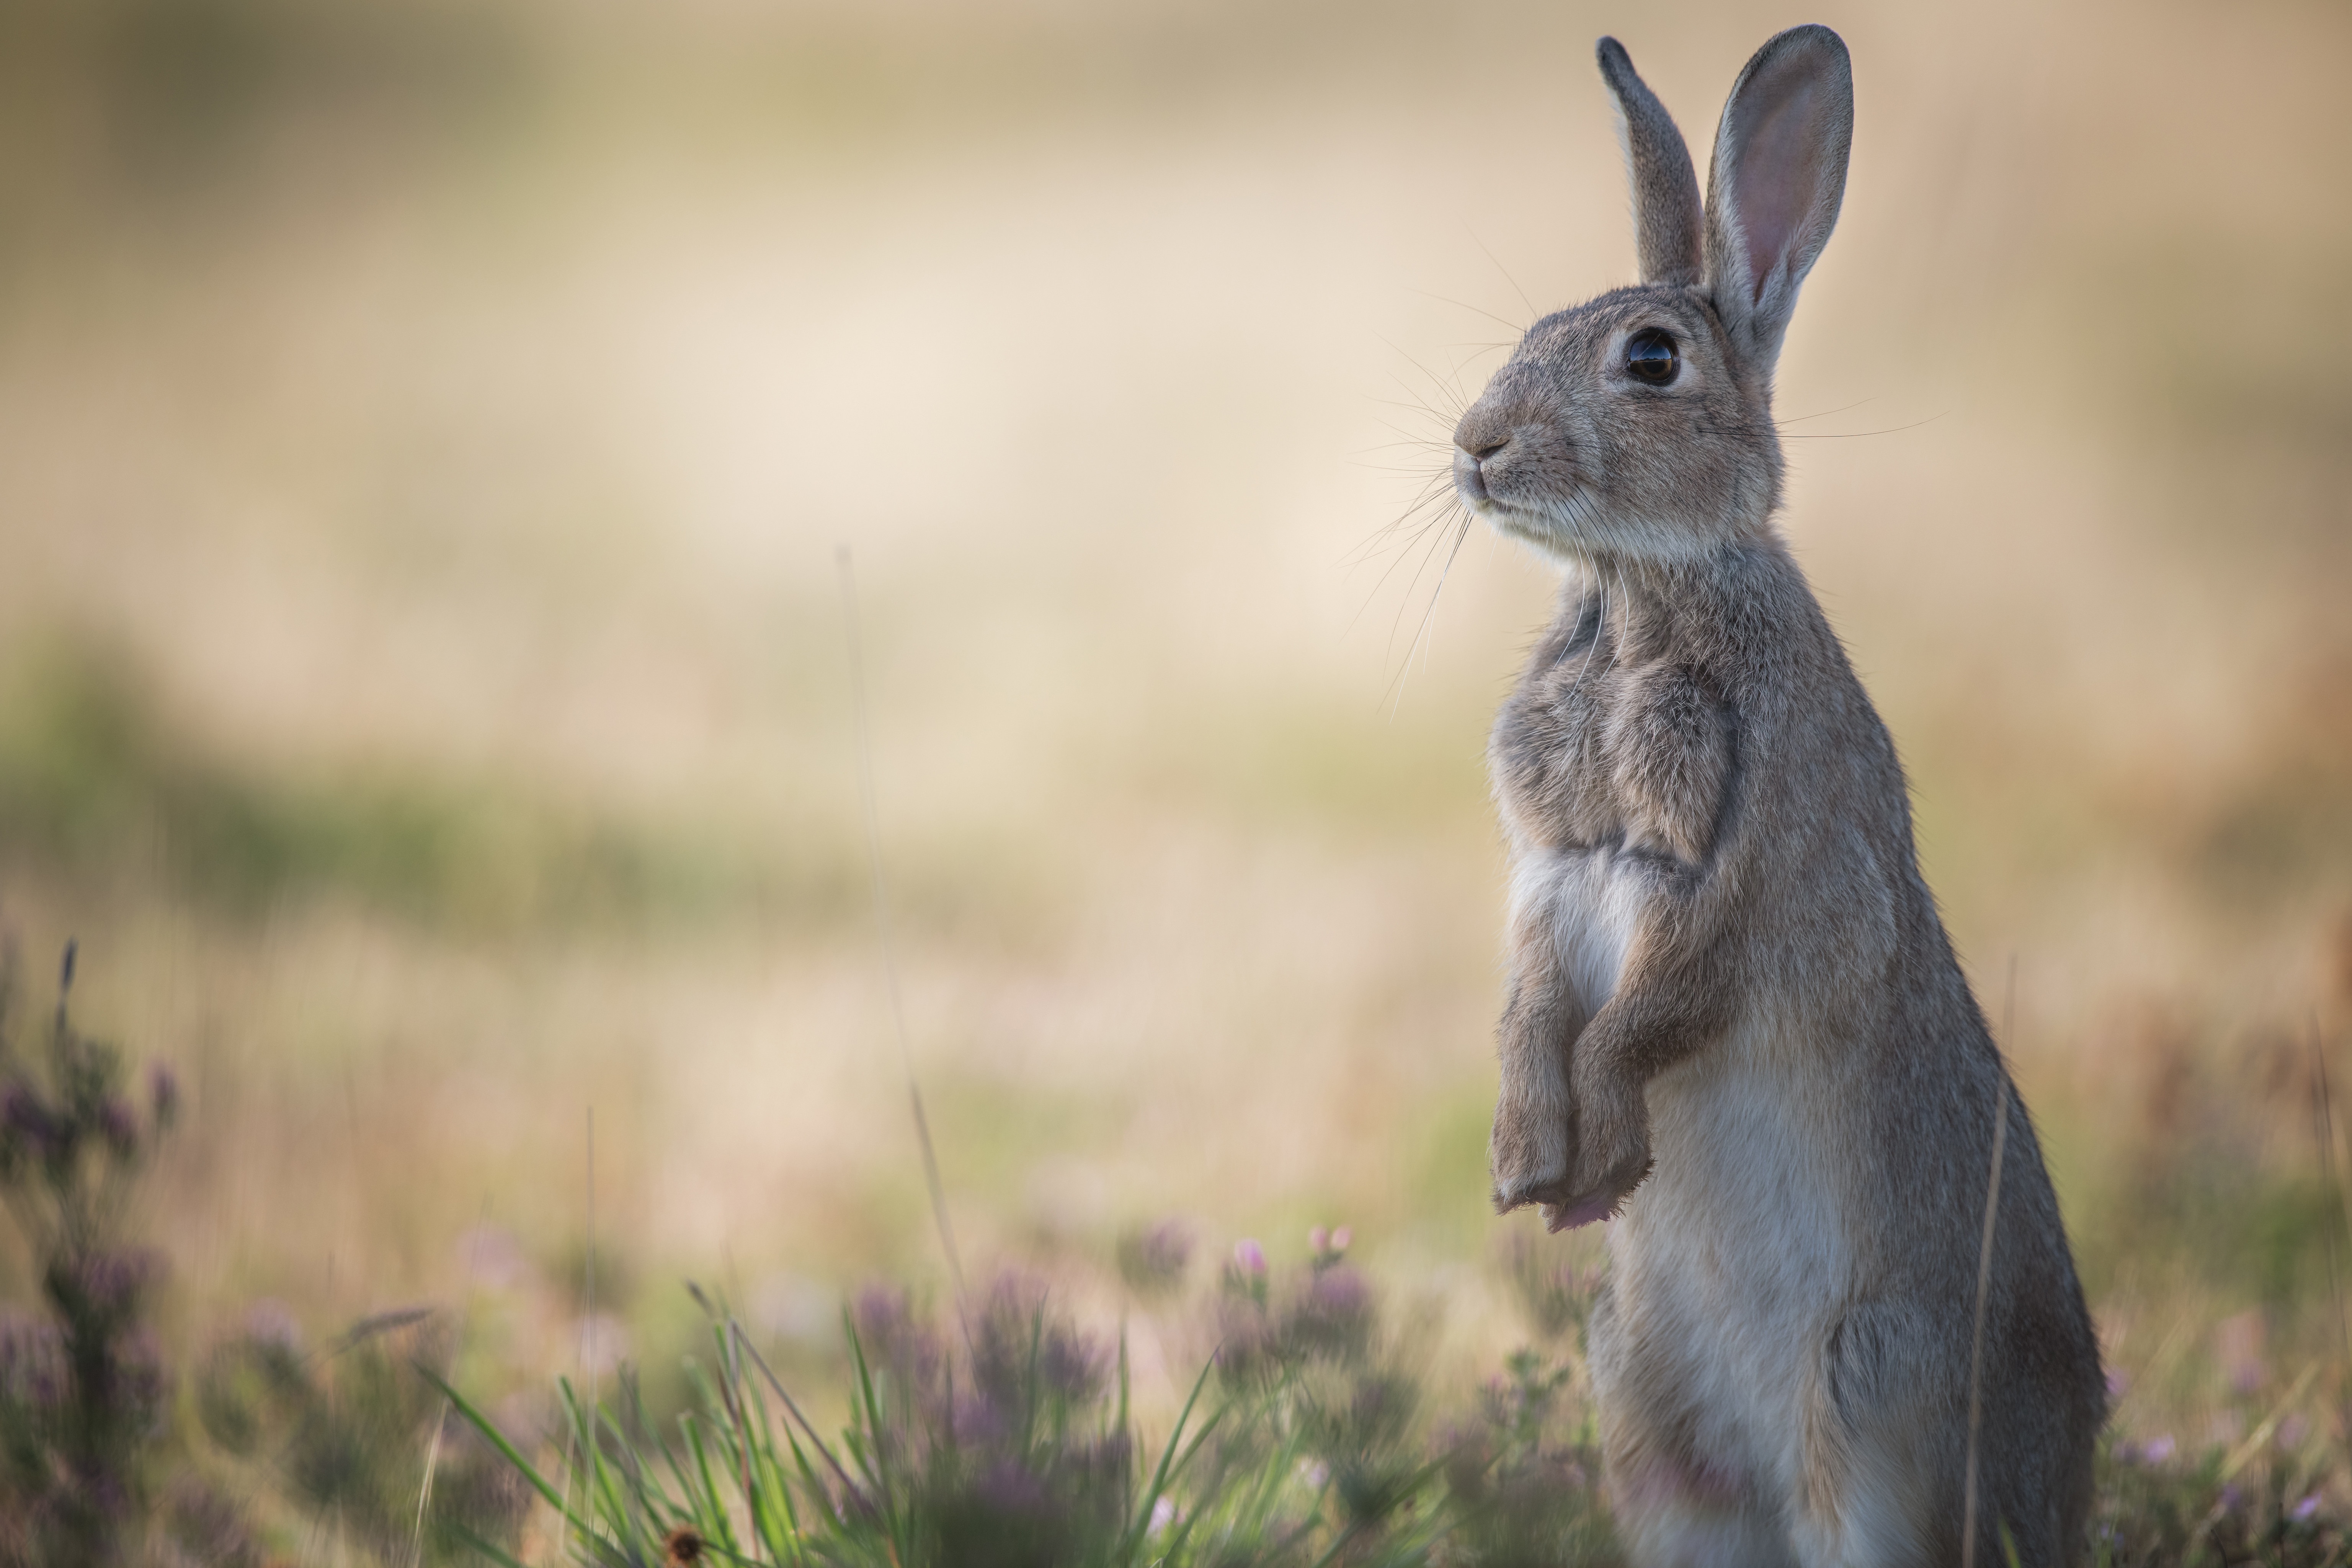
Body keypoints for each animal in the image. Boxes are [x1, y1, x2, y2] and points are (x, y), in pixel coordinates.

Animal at [1451, 26, 2105, 1567]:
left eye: (1650, 358)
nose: (1474, 444)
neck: (1639, 591)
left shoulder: (1741, 880)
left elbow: (1649, 1013)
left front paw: (1602, 1149)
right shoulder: (1553, 872)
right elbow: (1528, 1003)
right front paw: (1525, 1167)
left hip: (1870, 1388)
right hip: (1644, 1407)